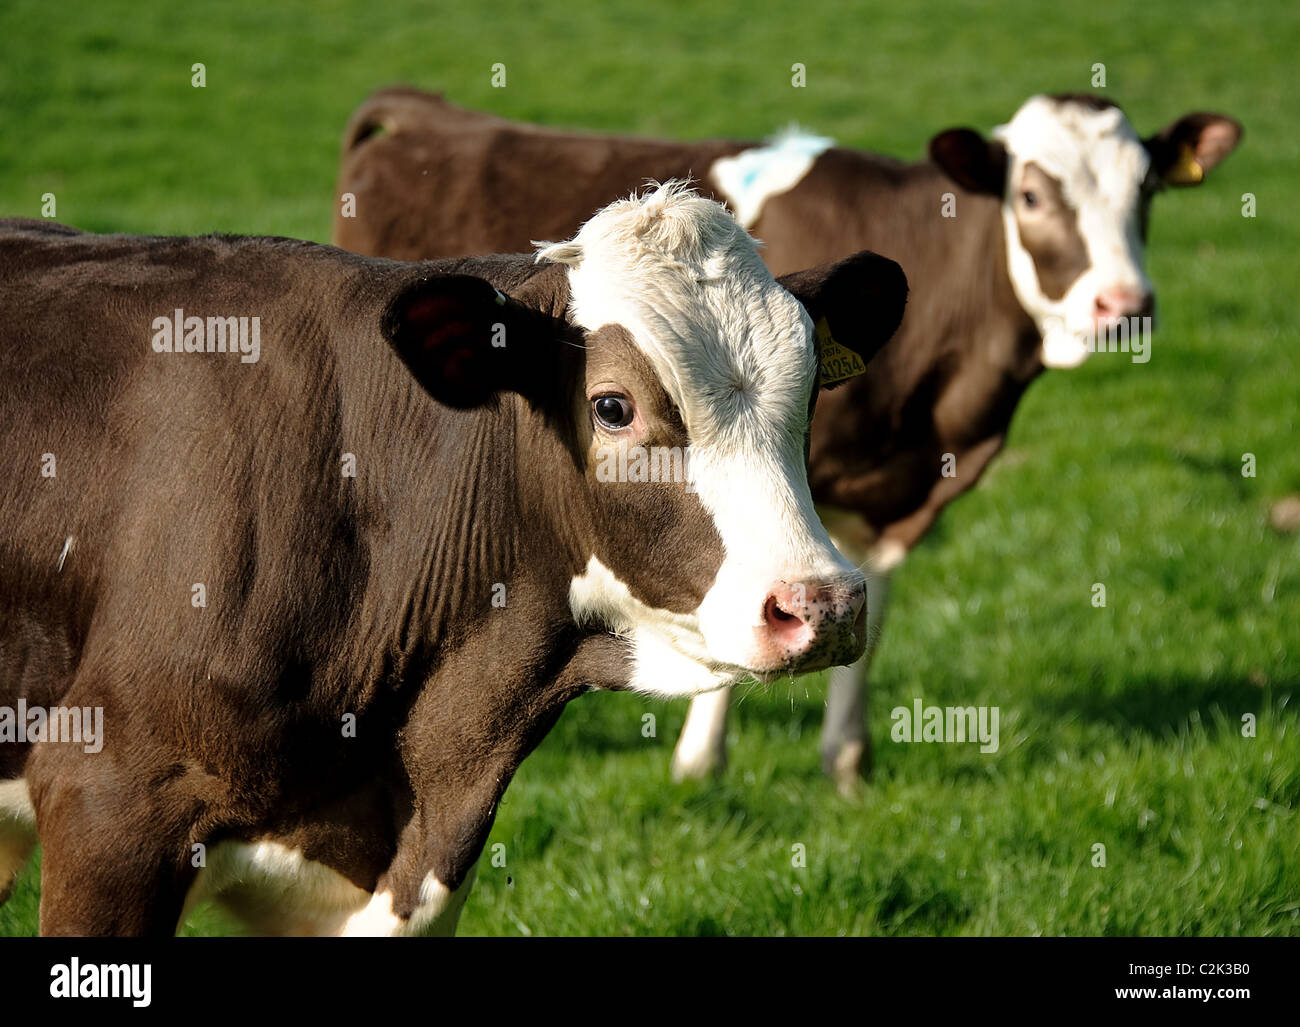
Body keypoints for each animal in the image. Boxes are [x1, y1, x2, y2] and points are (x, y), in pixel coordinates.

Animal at [332, 88, 1242, 792]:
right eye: (1031, 196)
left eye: (1147, 190)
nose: (1125, 305)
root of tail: (424, 109)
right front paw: (701, 762)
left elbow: (864, 604)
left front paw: (846, 759)